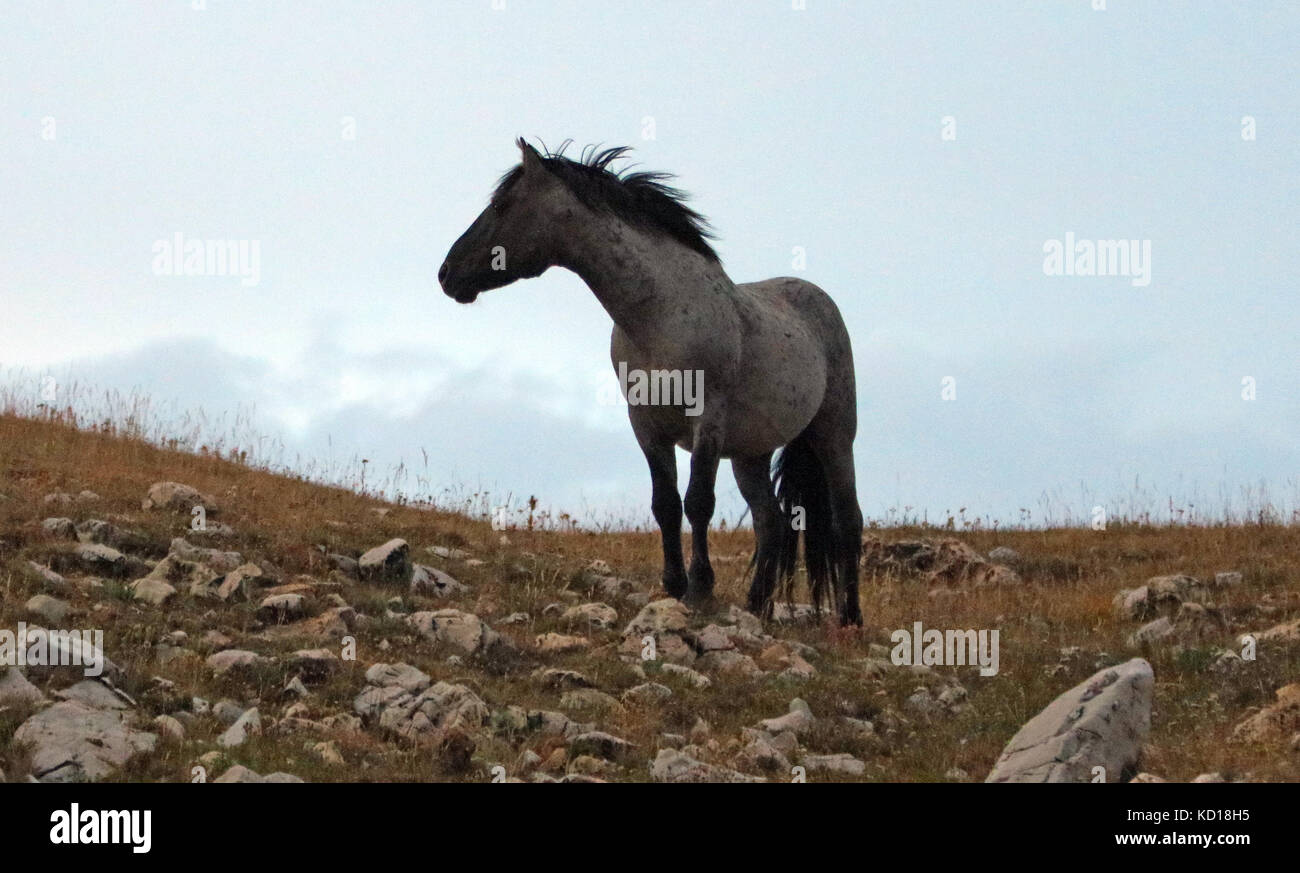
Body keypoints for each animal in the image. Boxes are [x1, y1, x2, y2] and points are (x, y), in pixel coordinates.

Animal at [438, 139, 863, 626]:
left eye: (501, 205)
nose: (447, 273)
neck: (660, 315)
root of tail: (819, 301)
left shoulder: (707, 421)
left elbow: (698, 502)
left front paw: (700, 588)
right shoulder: (645, 424)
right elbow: (666, 503)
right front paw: (674, 585)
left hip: (834, 436)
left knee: (846, 519)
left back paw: (851, 618)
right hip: (750, 453)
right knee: (770, 521)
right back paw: (758, 606)